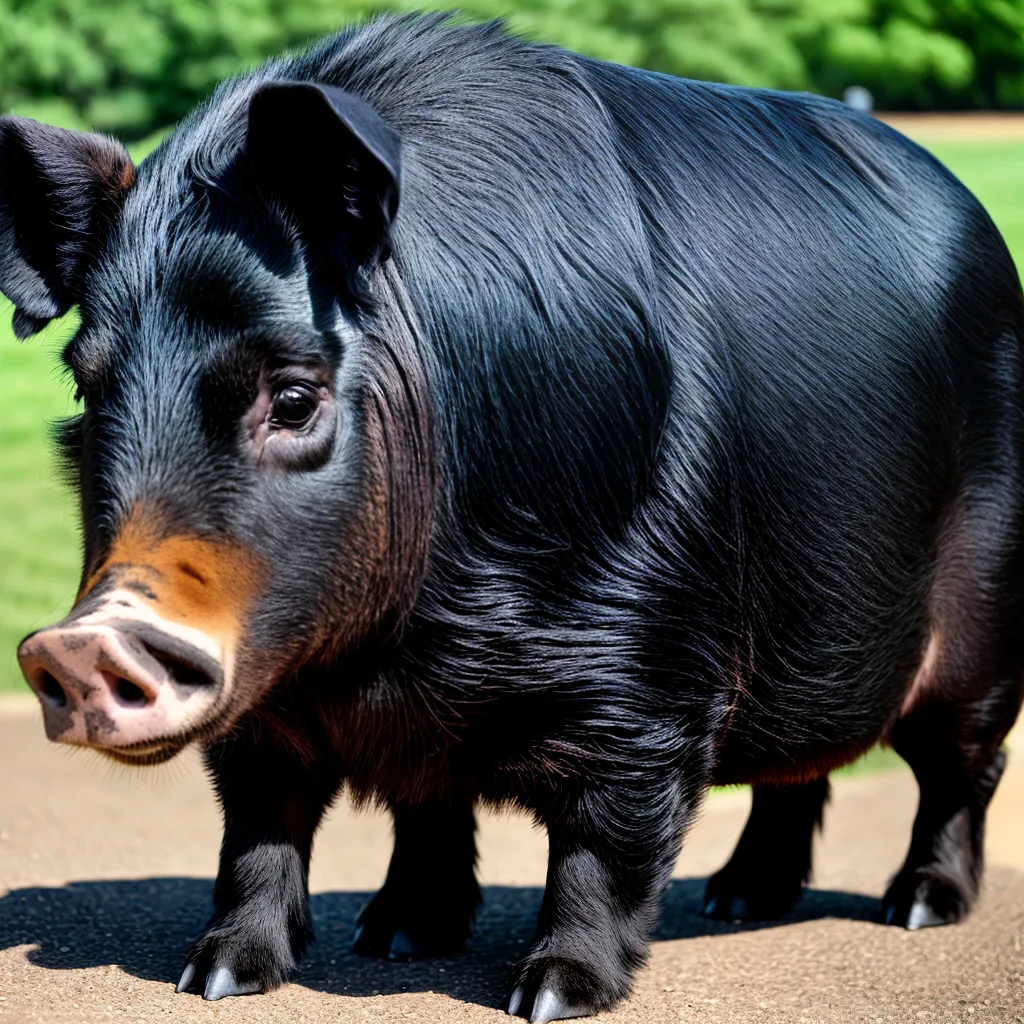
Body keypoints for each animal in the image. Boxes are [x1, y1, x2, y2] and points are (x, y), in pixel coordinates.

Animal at [2, 13, 1023, 1022]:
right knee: (797, 775)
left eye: (291, 397)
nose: (80, 641)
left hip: (981, 635)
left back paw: (915, 909)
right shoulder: (278, 699)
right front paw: (256, 968)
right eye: (90, 389)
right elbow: (281, 825)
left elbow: (602, 844)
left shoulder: (651, 673)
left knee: (960, 773)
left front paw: (549, 997)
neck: (408, 645)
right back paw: (735, 900)